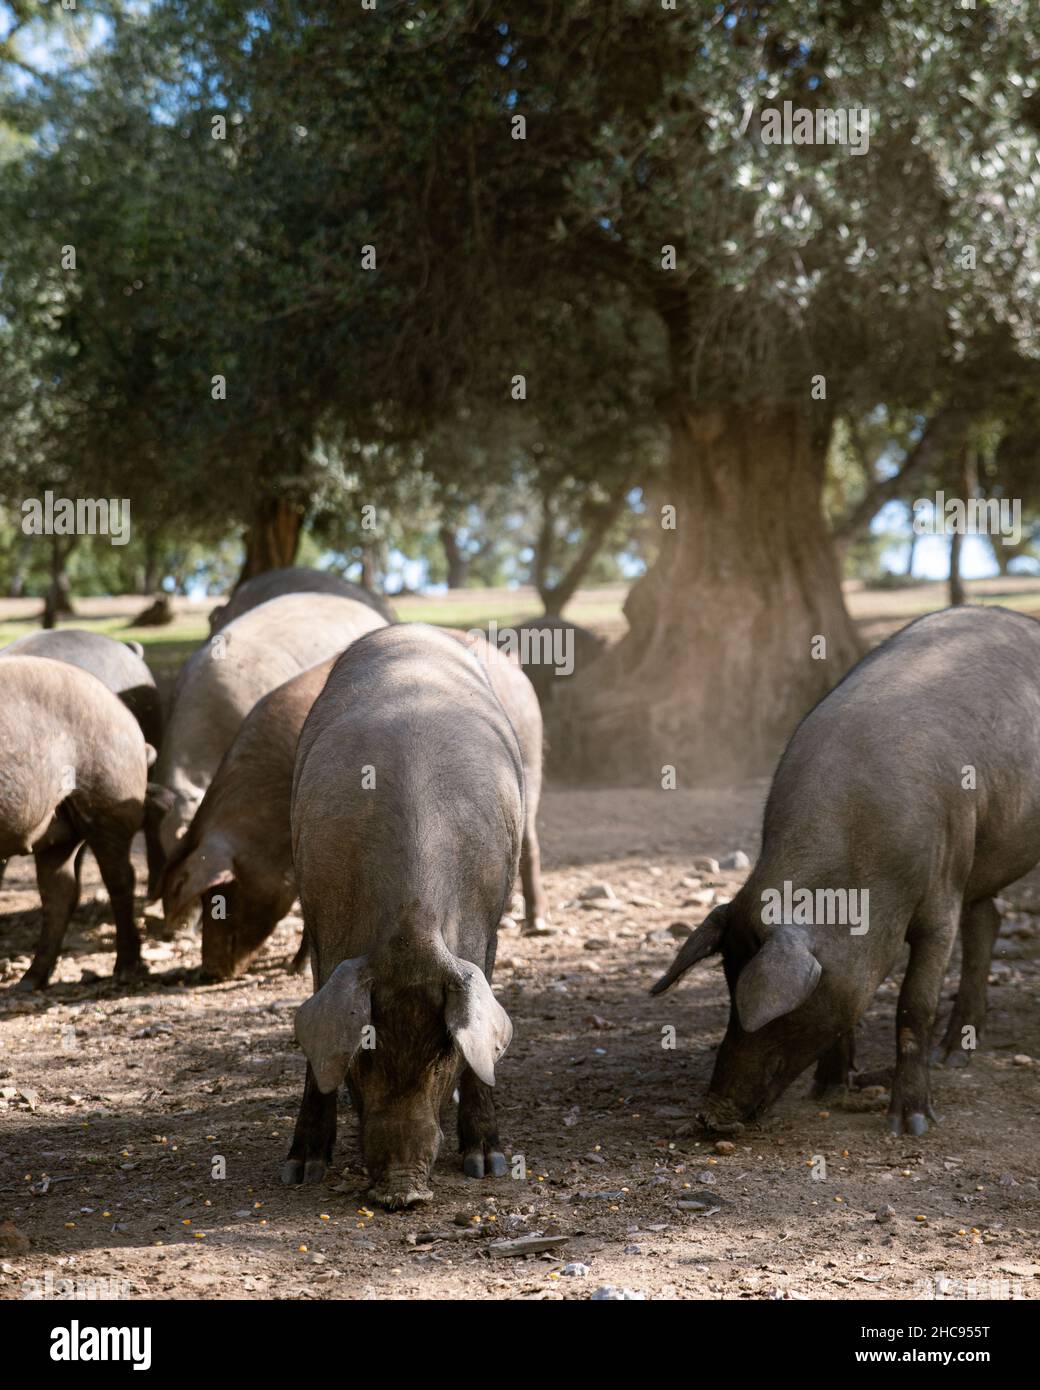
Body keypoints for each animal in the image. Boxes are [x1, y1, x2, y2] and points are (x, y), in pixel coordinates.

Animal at [0, 657, 151, 989]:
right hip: (57, 833)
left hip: (110, 802)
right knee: (60, 892)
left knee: (120, 879)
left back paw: (125, 969)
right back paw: (31, 980)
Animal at [164, 628, 546, 981]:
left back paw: (536, 924)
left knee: (529, 847)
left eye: (221, 893)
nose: (209, 972)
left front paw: (294, 969)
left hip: (531, 768)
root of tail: (515, 667)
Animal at [285, 624, 522, 1208]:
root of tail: (410, 627)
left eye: (445, 1052)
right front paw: (301, 1171)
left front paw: (489, 1165)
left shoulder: (484, 933)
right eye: (364, 1052)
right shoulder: (322, 926)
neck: (409, 929)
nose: (403, 1193)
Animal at [651, 606, 1040, 1138]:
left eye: (776, 1009)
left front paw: (910, 1127)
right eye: (728, 981)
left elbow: (912, 1005)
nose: (711, 1115)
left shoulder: (941, 895)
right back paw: (953, 1057)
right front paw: (829, 1092)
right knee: (987, 922)